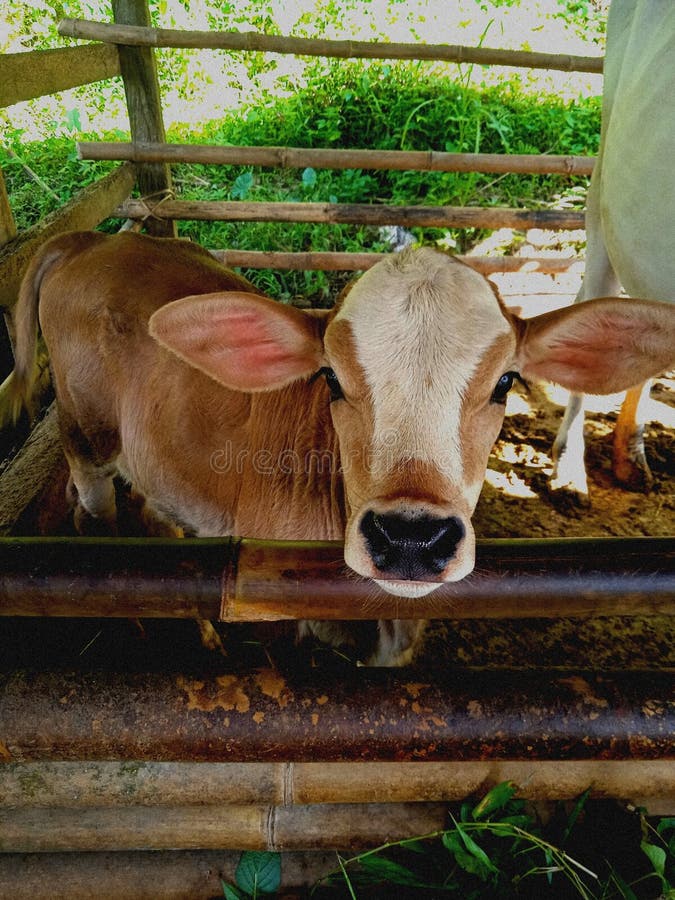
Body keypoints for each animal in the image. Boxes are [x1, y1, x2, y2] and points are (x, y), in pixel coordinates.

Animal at [3, 231, 674, 664]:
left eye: (506, 382)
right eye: (330, 377)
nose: (410, 538)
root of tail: (89, 242)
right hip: (85, 431)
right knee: (93, 514)